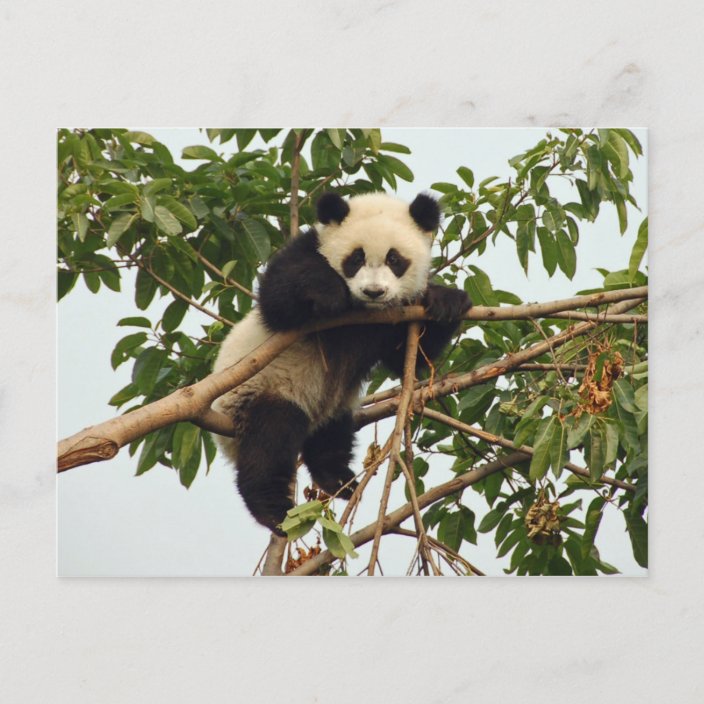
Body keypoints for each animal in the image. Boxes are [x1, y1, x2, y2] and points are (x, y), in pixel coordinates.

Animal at [212, 191, 472, 534]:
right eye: (355, 258)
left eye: (394, 260)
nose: (373, 291)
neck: (362, 313)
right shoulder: (305, 252)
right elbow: (278, 297)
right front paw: (329, 292)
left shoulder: (393, 319)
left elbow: (406, 357)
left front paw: (446, 300)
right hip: (260, 391)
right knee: (271, 438)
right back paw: (272, 508)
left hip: (330, 403)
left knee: (331, 436)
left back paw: (337, 479)